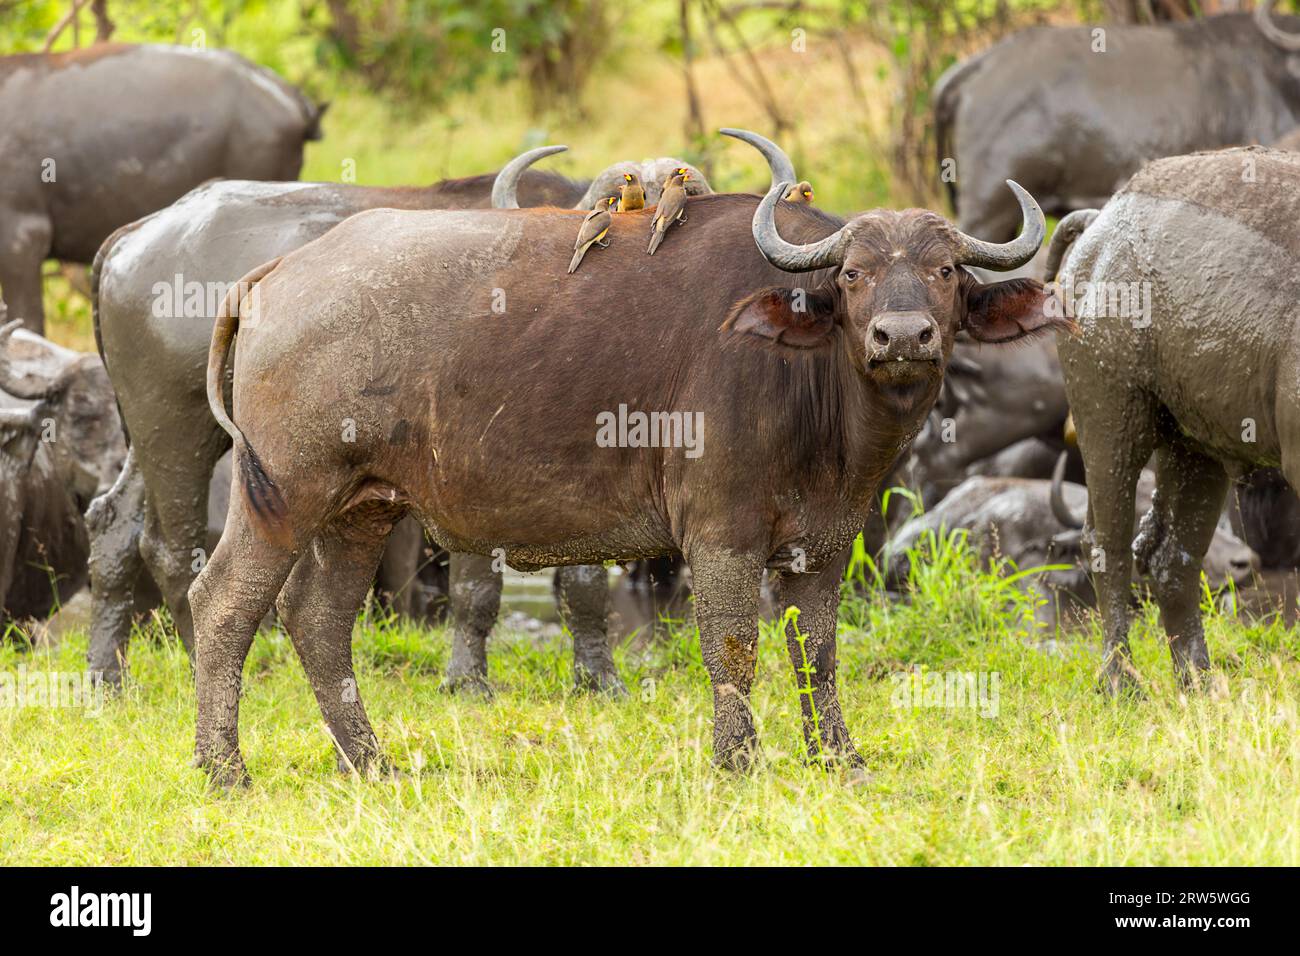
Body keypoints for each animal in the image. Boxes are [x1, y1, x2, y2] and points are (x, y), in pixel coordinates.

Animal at [186, 138, 1067, 785]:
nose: (902, 337)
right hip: (284, 493)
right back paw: (226, 768)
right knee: (223, 603)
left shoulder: (824, 539)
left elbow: (815, 650)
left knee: (317, 618)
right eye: (853, 274)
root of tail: (277, 275)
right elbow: (733, 643)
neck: (811, 386)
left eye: (945, 271)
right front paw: (738, 759)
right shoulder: (720, 532)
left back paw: (371, 762)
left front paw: (837, 757)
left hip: (362, 508)